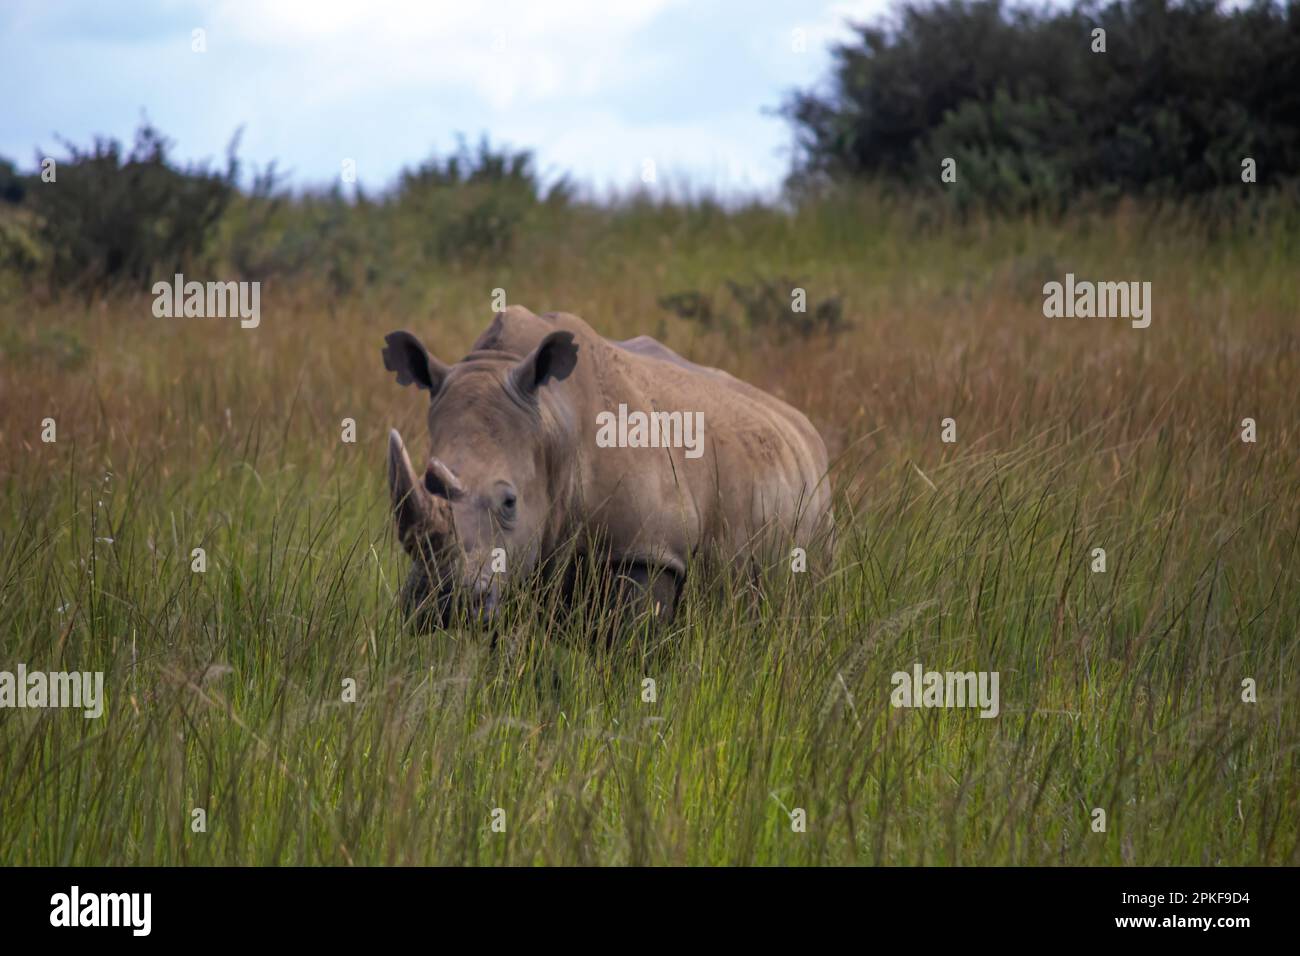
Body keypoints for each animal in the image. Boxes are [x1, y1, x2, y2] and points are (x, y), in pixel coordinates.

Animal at [384, 306, 831, 627]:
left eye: (509, 502)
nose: (444, 604)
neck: (555, 420)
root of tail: (806, 427)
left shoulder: (646, 548)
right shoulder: (514, 566)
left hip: (818, 506)